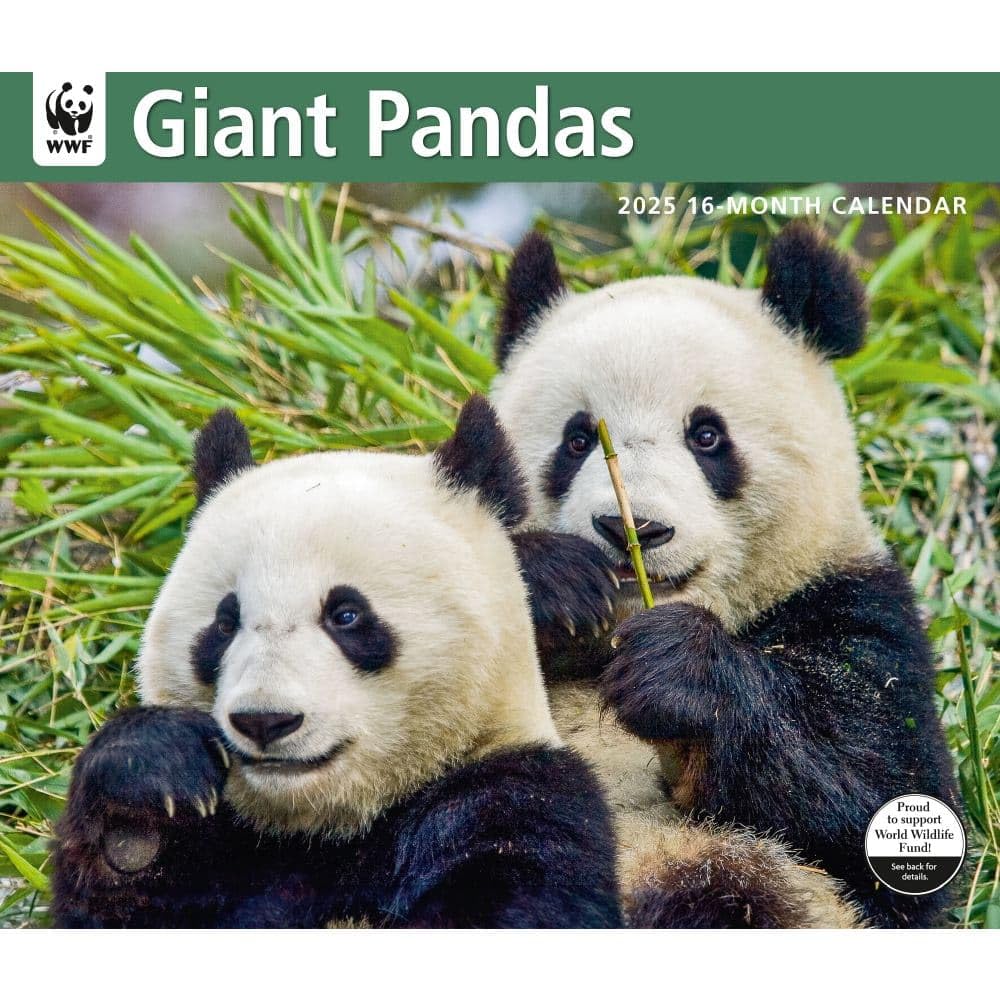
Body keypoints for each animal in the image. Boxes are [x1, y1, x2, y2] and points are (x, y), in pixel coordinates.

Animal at [51, 397, 621, 928]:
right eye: (225, 622)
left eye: (346, 615)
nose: (265, 720)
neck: (330, 826)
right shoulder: (231, 851)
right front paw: (146, 793)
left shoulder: (520, 796)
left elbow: (520, 896)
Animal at [489, 223, 960, 929]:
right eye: (576, 441)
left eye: (707, 436)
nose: (632, 528)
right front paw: (555, 584)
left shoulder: (856, 609)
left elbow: (879, 786)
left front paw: (675, 670)